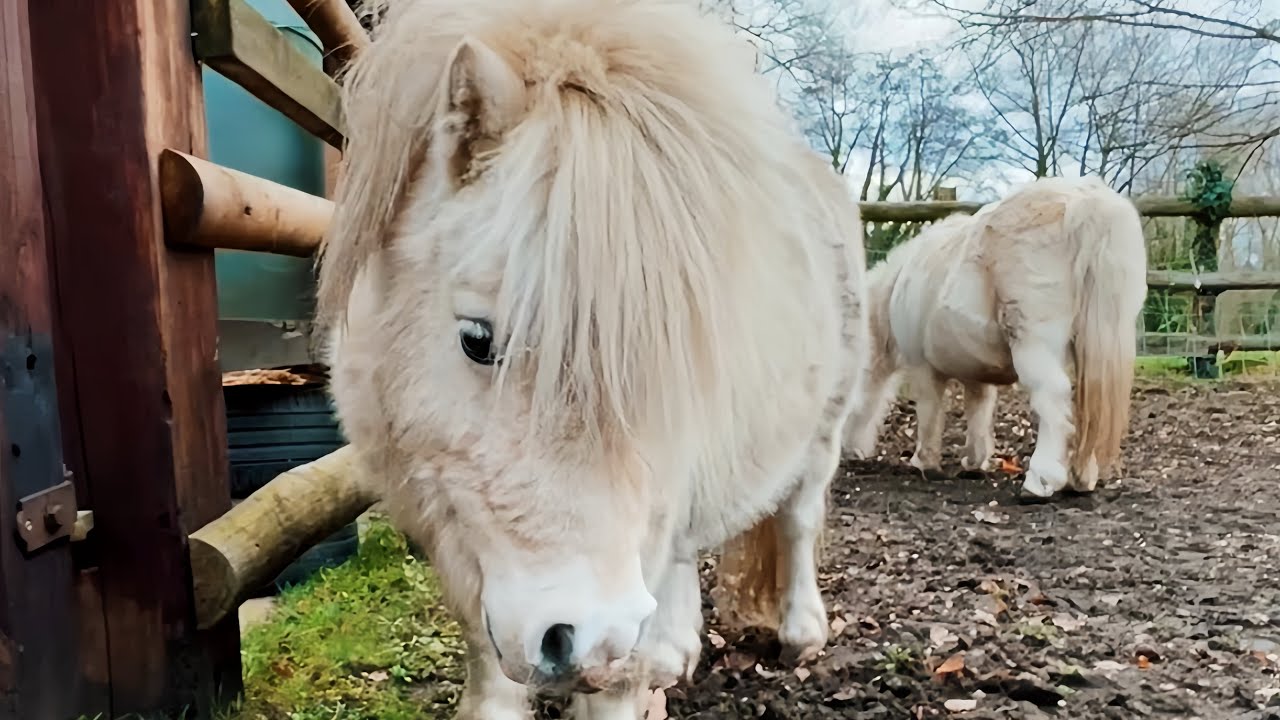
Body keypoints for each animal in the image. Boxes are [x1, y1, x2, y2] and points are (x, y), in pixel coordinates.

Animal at [315, 0, 869, 717]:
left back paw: (801, 632)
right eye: (476, 340)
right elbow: (492, 668)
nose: (580, 638)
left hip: (824, 430)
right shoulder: (448, 528)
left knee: (799, 519)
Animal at [842, 175, 1148, 500]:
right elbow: (978, 410)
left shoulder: (923, 367)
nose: (847, 452)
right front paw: (974, 462)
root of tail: (1087, 205)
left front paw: (925, 461)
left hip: (1034, 343)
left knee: (1053, 397)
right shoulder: (975, 370)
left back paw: (1038, 483)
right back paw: (1081, 479)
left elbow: (929, 412)